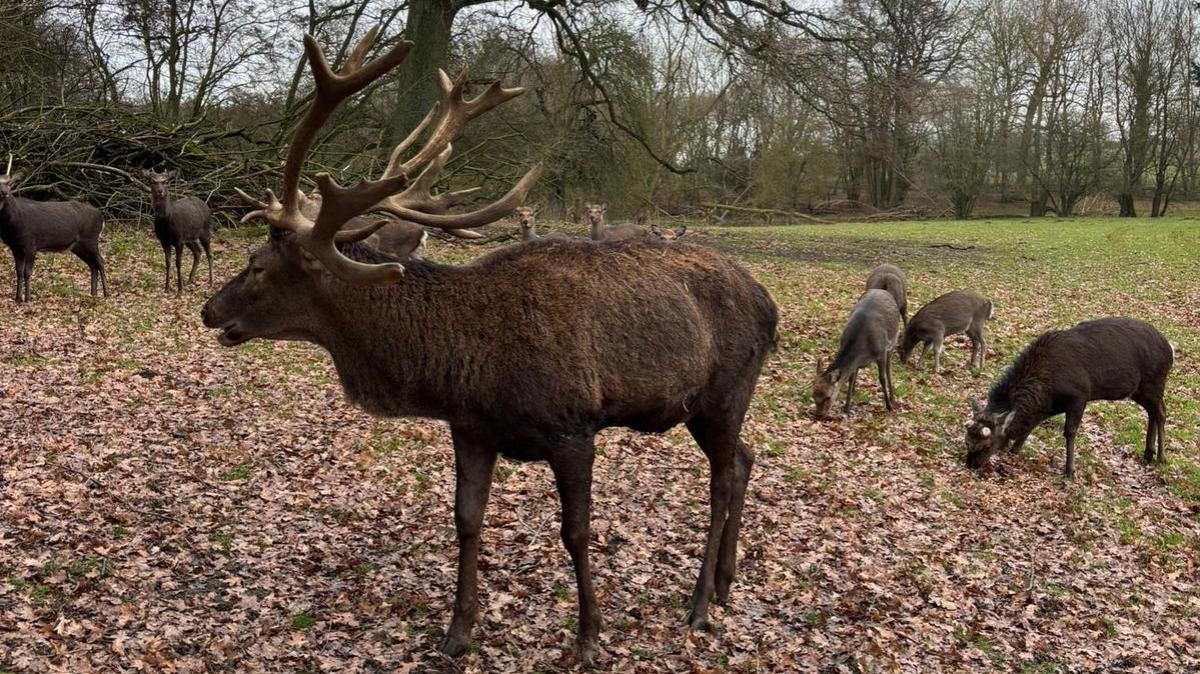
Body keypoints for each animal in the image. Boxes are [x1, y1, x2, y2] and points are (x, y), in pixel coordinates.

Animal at [0, 156, 108, 302]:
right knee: (92, 265)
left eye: (10, 184)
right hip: (78, 246)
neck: (12, 222)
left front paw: (27, 299)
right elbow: (18, 272)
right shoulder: (15, 246)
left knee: (101, 262)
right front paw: (17, 299)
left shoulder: (31, 244)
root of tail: (100, 216)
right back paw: (93, 293)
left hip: (91, 239)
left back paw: (106, 293)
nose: (4, 193)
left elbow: (27, 272)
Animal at [200, 28, 778, 667]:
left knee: (722, 479)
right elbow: (466, 519)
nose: (209, 310)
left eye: (256, 265)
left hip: (725, 392)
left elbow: (576, 532)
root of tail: (769, 304)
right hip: (707, 407)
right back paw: (724, 584)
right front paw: (457, 632)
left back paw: (699, 606)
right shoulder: (472, 428)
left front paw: (589, 638)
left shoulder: (573, 426)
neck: (464, 366)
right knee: (745, 460)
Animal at [812, 289, 899, 418]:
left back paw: (892, 397)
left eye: (828, 397)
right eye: (813, 395)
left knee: (888, 369)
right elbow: (850, 378)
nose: (819, 415)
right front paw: (847, 408)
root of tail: (882, 290)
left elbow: (882, 378)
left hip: (893, 340)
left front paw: (888, 406)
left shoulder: (881, 351)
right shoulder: (855, 361)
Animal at [965, 317, 1173, 478]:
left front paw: (1069, 470)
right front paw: (1014, 450)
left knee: (1161, 412)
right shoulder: (1049, 405)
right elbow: (1031, 424)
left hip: (1154, 382)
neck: (1045, 387)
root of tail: (1170, 351)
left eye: (986, 444)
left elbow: (1069, 432)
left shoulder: (1079, 396)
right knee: (1152, 412)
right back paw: (1148, 453)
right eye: (967, 441)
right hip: (1139, 390)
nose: (970, 465)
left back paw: (1161, 457)